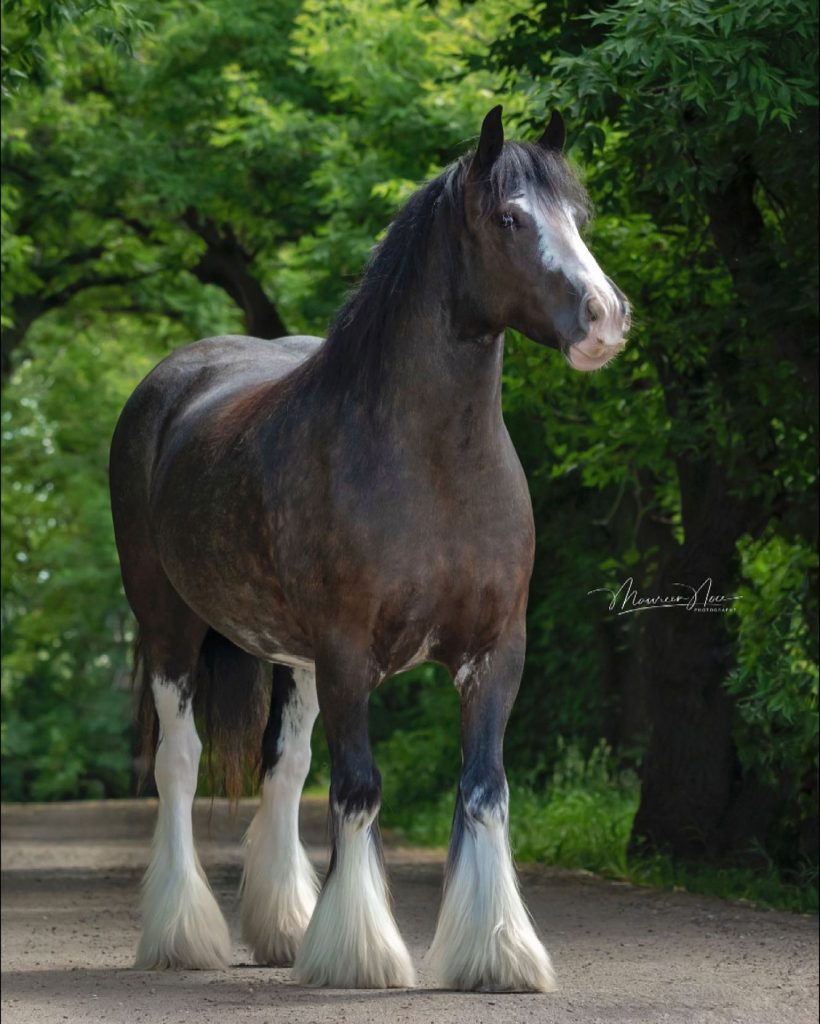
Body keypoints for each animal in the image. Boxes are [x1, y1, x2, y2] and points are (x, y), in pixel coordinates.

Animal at [109, 104, 630, 992]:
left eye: (579, 217)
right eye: (509, 218)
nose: (605, 318)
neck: (435, 467)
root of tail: (171, 383)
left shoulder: (495, 652)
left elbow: (484, 789)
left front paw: (496, 955)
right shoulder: (350, 653)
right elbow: (358, 789)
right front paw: (360, 952)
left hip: (295, 661)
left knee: (282, 769)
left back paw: (284, 928)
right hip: (171, 630)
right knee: (179, 764)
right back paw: (183, 936)